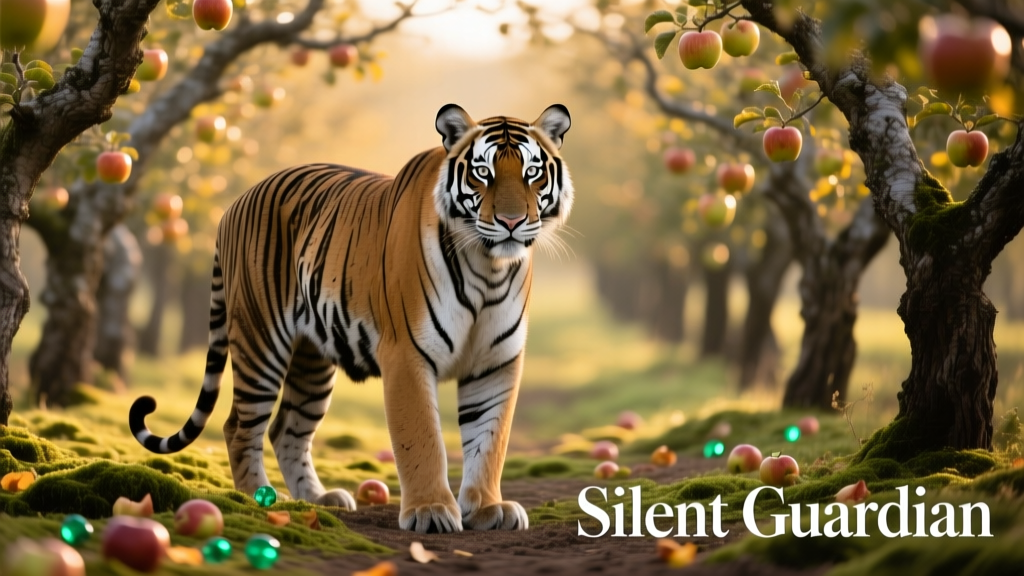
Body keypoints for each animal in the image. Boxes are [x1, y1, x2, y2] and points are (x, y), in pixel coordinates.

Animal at [129, 104, 573, 533]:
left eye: (532, 173)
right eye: (483, 172)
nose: (512, 222)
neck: (488, 267)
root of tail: (233, 204)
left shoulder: (495, 362)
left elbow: (489, 440)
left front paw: (487, 508)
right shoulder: (407, 355)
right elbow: (423, 439)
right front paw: (430, 511)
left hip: (311, 361)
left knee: (286, 428)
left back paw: (318, 499)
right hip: (260, 342)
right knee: (238, 427)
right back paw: (257, 499)